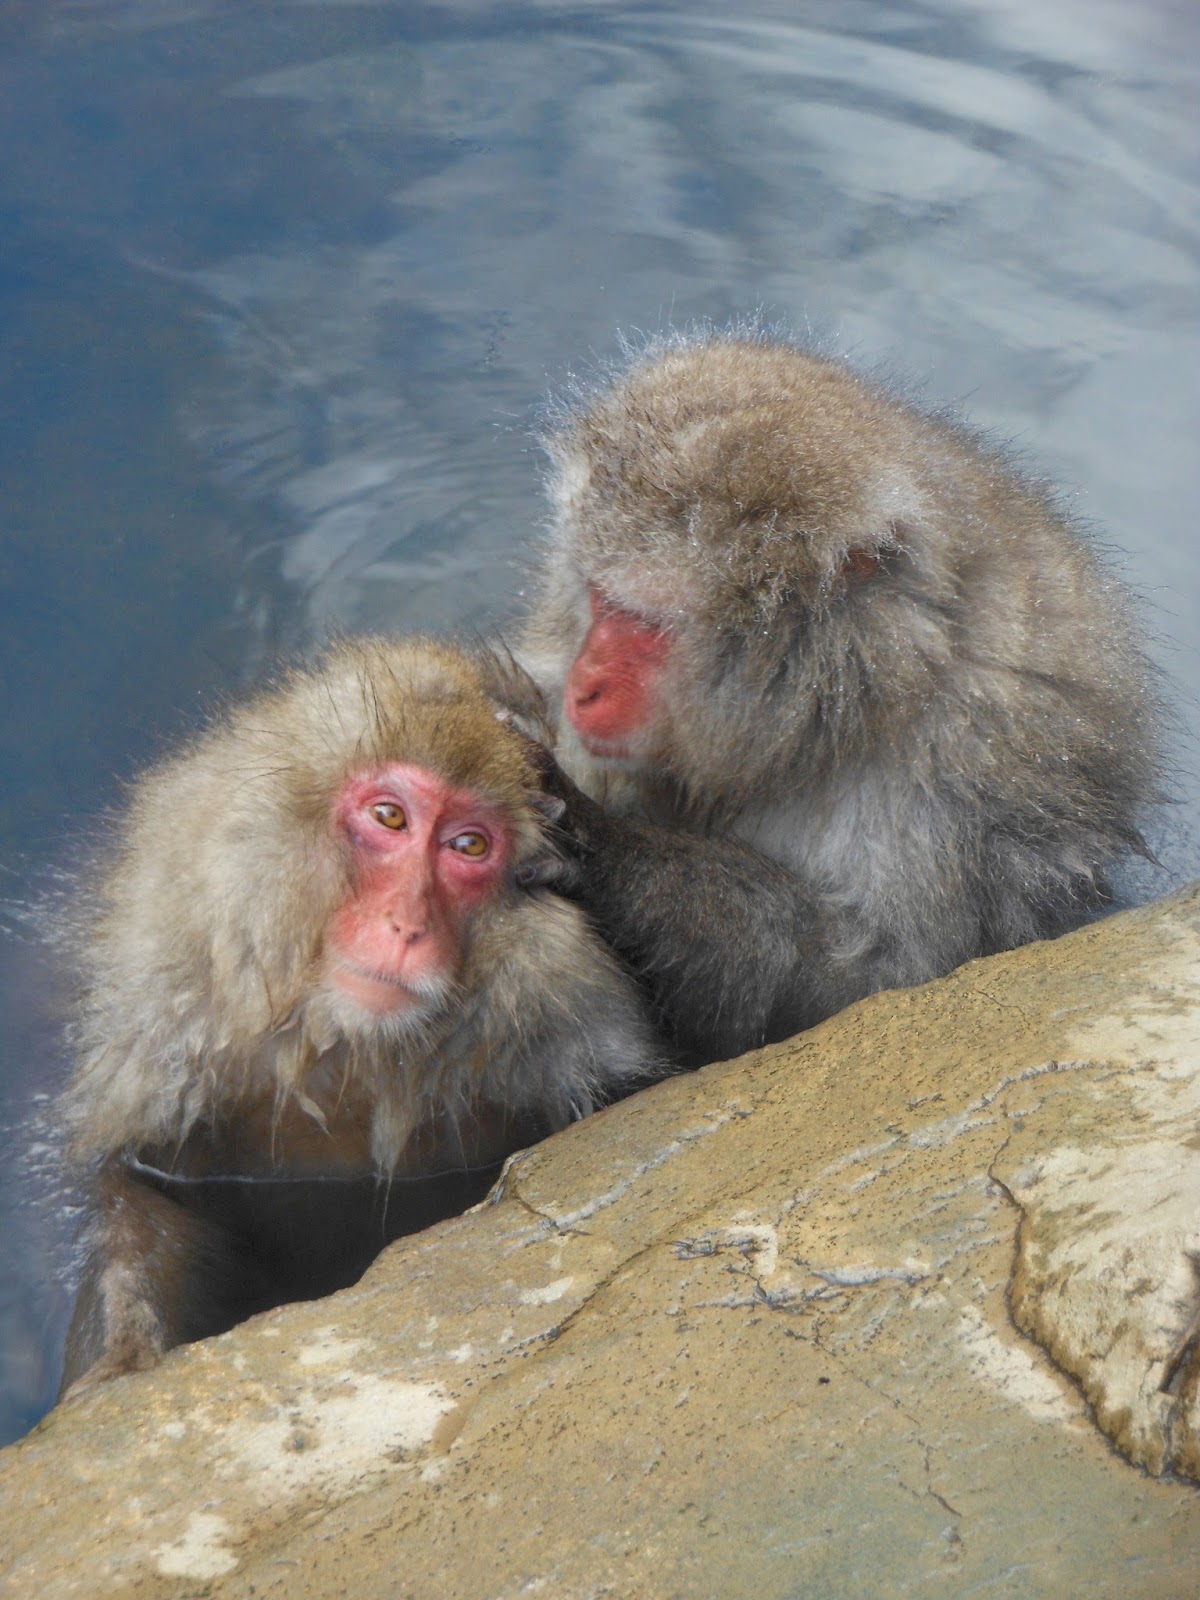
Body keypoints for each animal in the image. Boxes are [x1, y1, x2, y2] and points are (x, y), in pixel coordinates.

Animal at [57, 637, 660, 1400]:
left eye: (469, 846)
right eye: (390, 817)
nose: (404, 923)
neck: (352, 1050)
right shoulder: (178, 1025)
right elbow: (143, 1189)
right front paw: (126, 1356)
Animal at [514, 330, 1165, 1065]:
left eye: (641, 623)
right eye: (597, 599)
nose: (583, 685)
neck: (860, 694)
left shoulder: (957, 776)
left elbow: (869, 978)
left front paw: (603, 849)